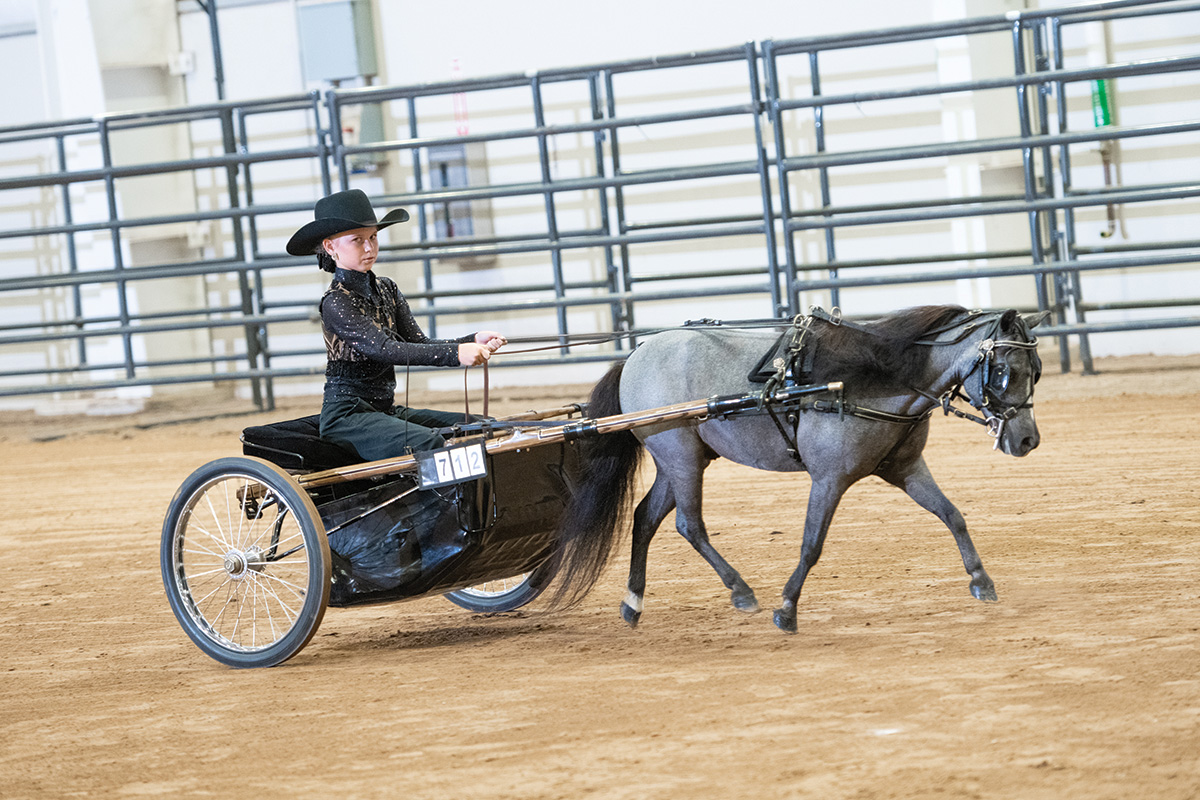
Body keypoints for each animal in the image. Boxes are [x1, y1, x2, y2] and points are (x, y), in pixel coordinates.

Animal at [550, 304, 1048, 633]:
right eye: (1003, 370)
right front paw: (787, 608)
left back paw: (634, 602)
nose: (1028, 440)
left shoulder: (905, 469)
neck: (865, 377)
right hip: (680, 456)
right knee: (689, 526)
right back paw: (741, 591)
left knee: (646, 519)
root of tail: (637, 353)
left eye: (1037, 370)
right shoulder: (829, 479)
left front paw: (981, 580)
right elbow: (812, 544)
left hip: (680, 460)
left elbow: (952, 515)